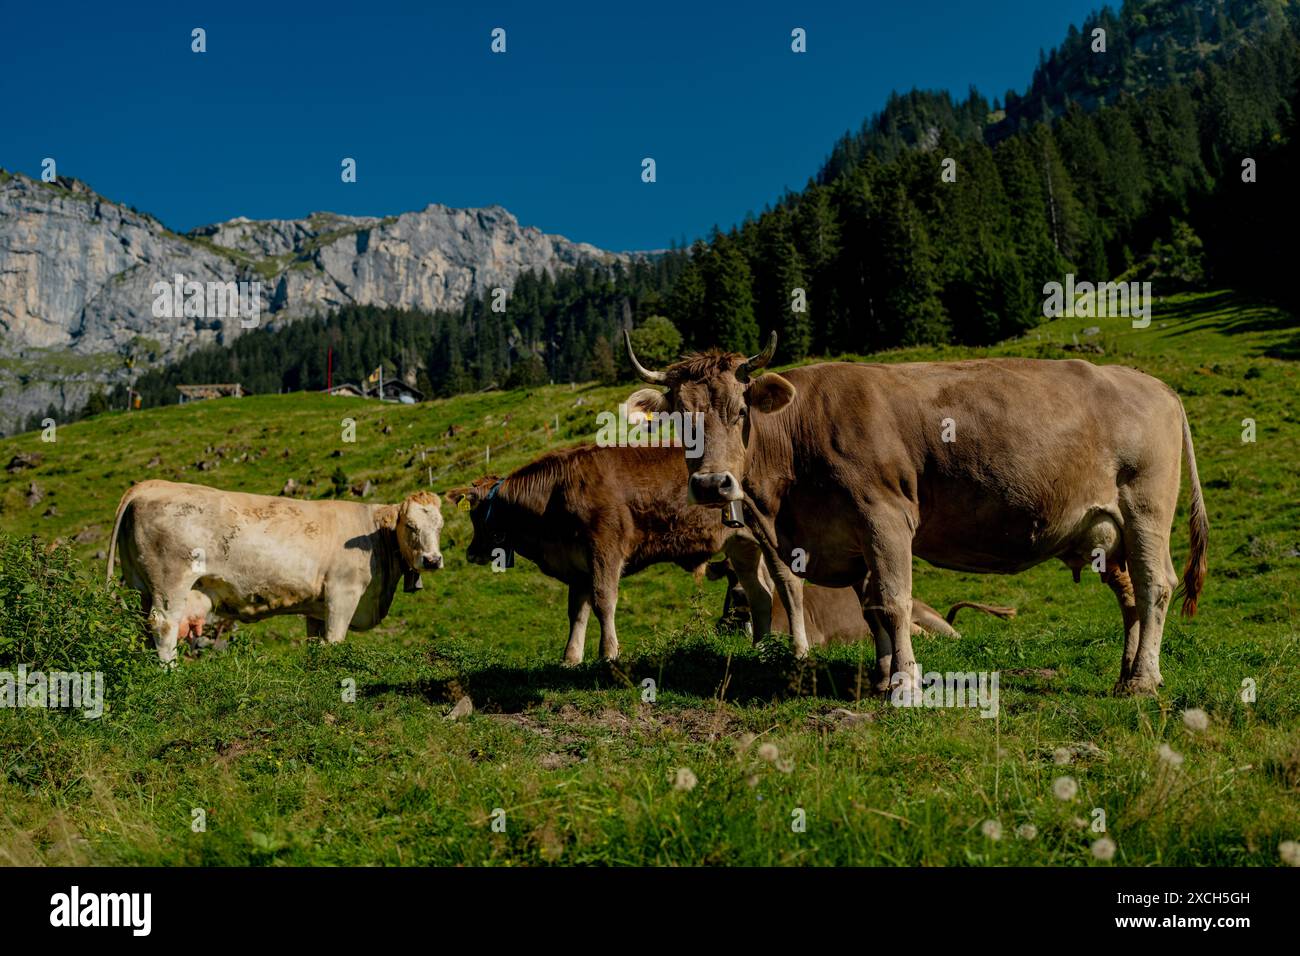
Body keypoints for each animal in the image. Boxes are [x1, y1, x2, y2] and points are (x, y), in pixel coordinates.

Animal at [106, 480, 445, 662]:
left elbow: (316, 642)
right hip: (170, 582)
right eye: (410, 526)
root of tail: (152, 485)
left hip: (141, 585)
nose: (432, 560)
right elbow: (335, 638)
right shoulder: (343, 592)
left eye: (439, 526)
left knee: (144, 625)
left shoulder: (317, 606)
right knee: (164, 625)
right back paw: (169, 672)